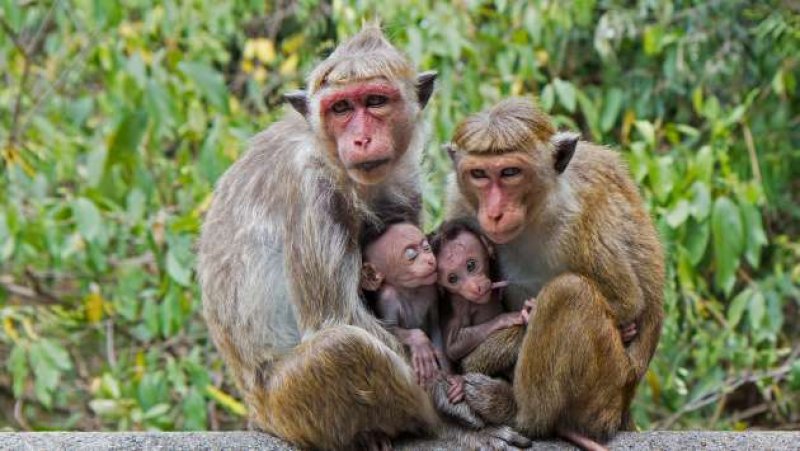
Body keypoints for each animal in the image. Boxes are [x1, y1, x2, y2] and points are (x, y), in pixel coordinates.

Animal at [197, 24, 441, 450]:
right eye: (340, 109)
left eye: (375, 101)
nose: (361, 139)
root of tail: (257, 413)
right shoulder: (311, 186)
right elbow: (338, 318)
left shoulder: (406, 188)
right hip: (289, 404)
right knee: (343, 348)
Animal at [444, 98, 665, 450]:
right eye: (479, 174)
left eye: (510, 172)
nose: (494, 212)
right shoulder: (461, 205)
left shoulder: (577, 223)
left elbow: (626, 302)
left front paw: (488, 351)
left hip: (605, 391)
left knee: (568, 293)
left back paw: (512, 410)